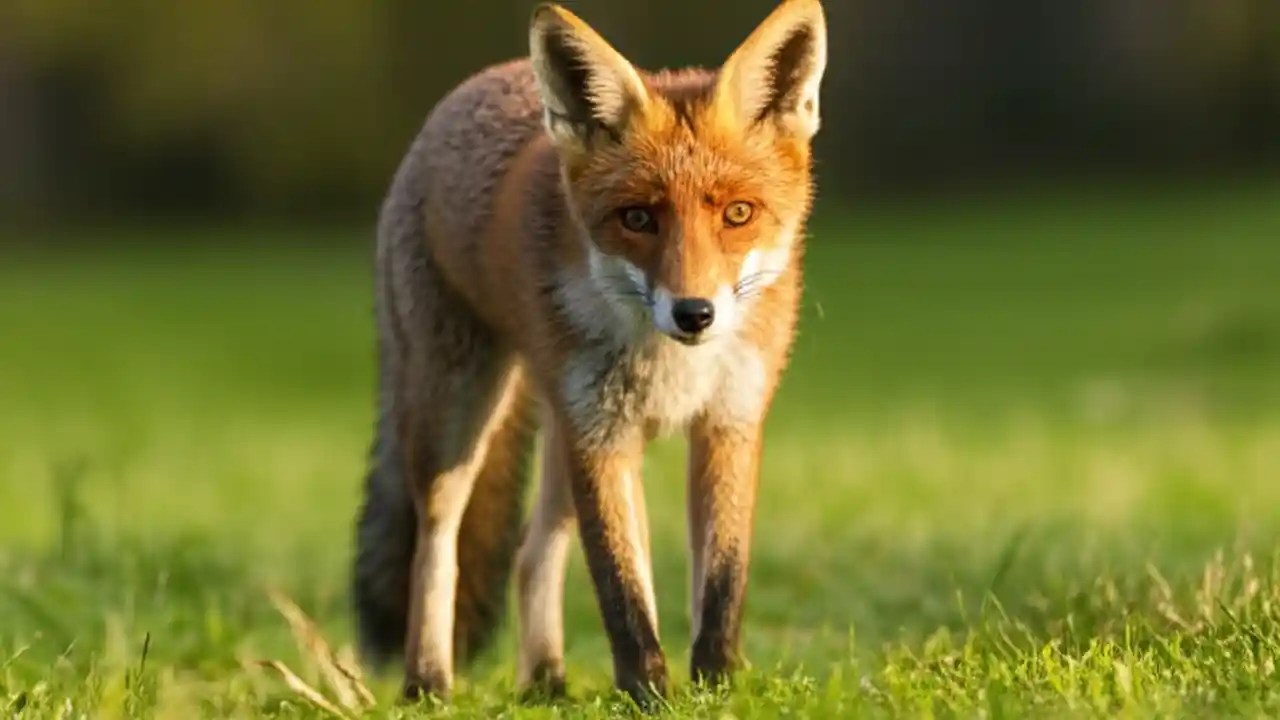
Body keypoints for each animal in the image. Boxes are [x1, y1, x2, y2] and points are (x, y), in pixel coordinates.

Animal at [352, 0, 827, 706]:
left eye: (739, 214)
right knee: (436, 544)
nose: (695, 313)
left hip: (558, 431)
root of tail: (481, 81)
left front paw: (716, 687)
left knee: (531, 550)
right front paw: (651, 696)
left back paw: (545, 679)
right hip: (460, 415)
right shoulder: (602, 437)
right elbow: (623, 590)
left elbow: (721, 581)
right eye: (637, 218)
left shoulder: (729, 421)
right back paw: (428, 683)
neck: (673, 367)